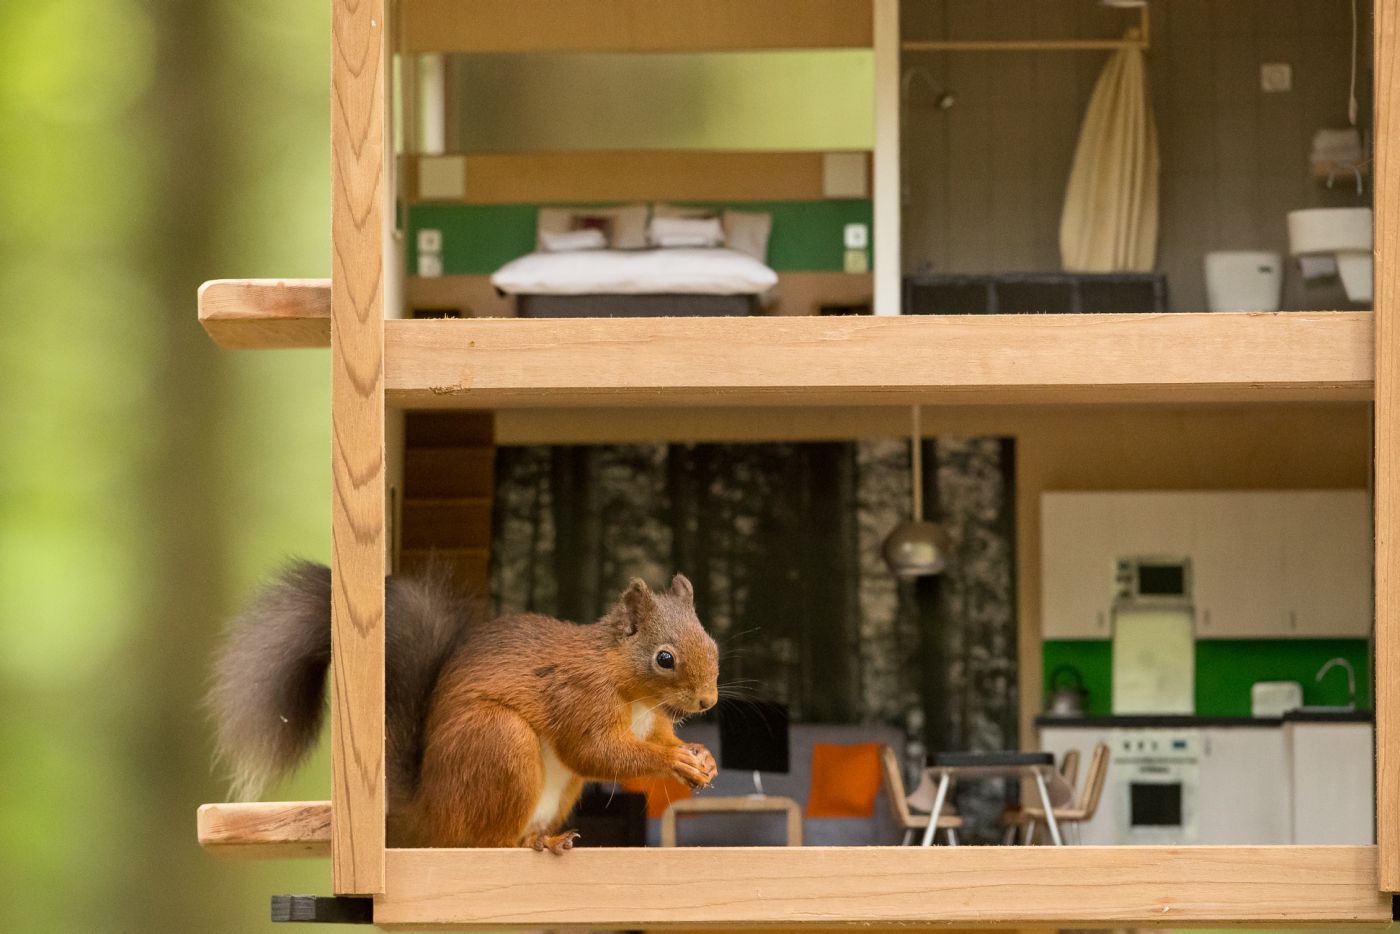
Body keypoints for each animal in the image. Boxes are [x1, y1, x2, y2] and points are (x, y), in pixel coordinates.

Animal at [208, 561, 720, 853]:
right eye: (665, 659)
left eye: (712, 643)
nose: (707, 700)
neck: (632, 690)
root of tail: (427, 810)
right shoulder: (581, 698)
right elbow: (595, 751)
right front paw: (674, 761)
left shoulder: (649, 719)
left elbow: (655, 736)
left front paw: (701, 756)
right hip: (499, 742)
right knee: (489, 842)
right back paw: (536, 842)